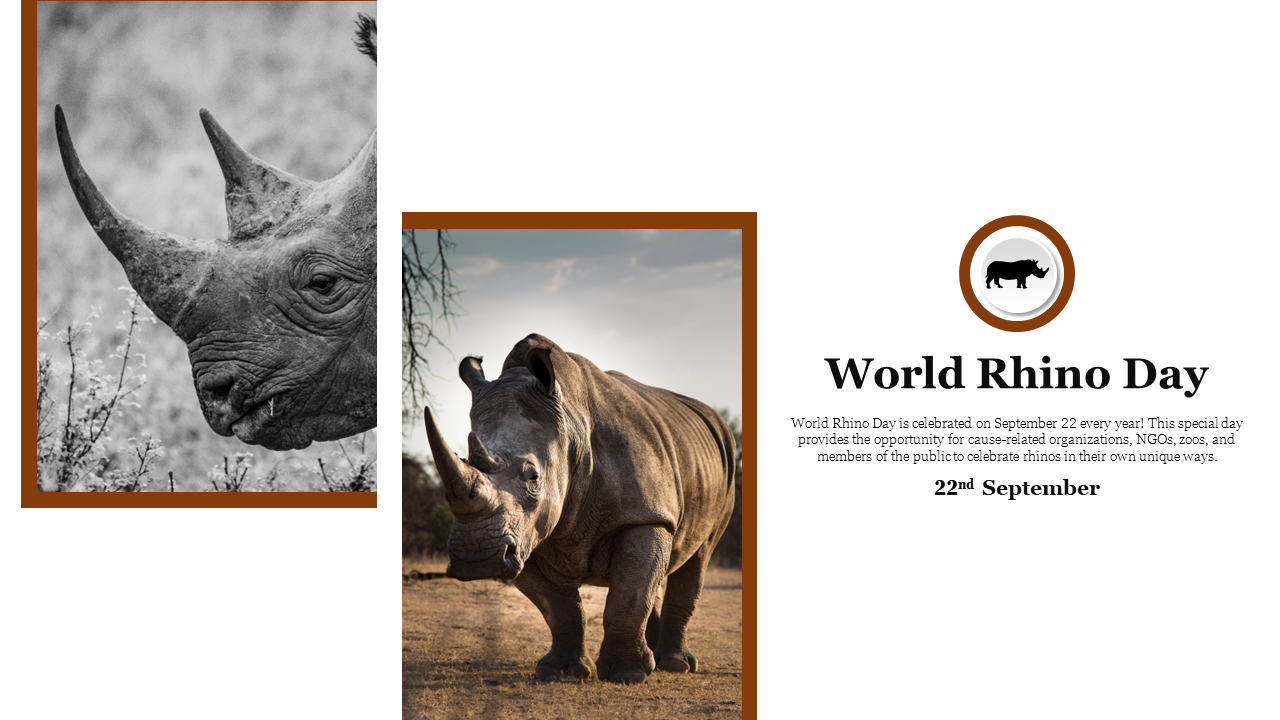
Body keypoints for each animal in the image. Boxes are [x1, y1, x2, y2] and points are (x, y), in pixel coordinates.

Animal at [424, 334, 737, 684]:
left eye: (533, 477)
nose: (476, 560)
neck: (570, 431)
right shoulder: (525, 536)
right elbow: (560, 608)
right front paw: (561, 671)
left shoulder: (644, 516)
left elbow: (627, 598)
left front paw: (627, 674)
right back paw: (657, 657)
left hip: (724, 471)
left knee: (698, 556)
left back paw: (674, 664)